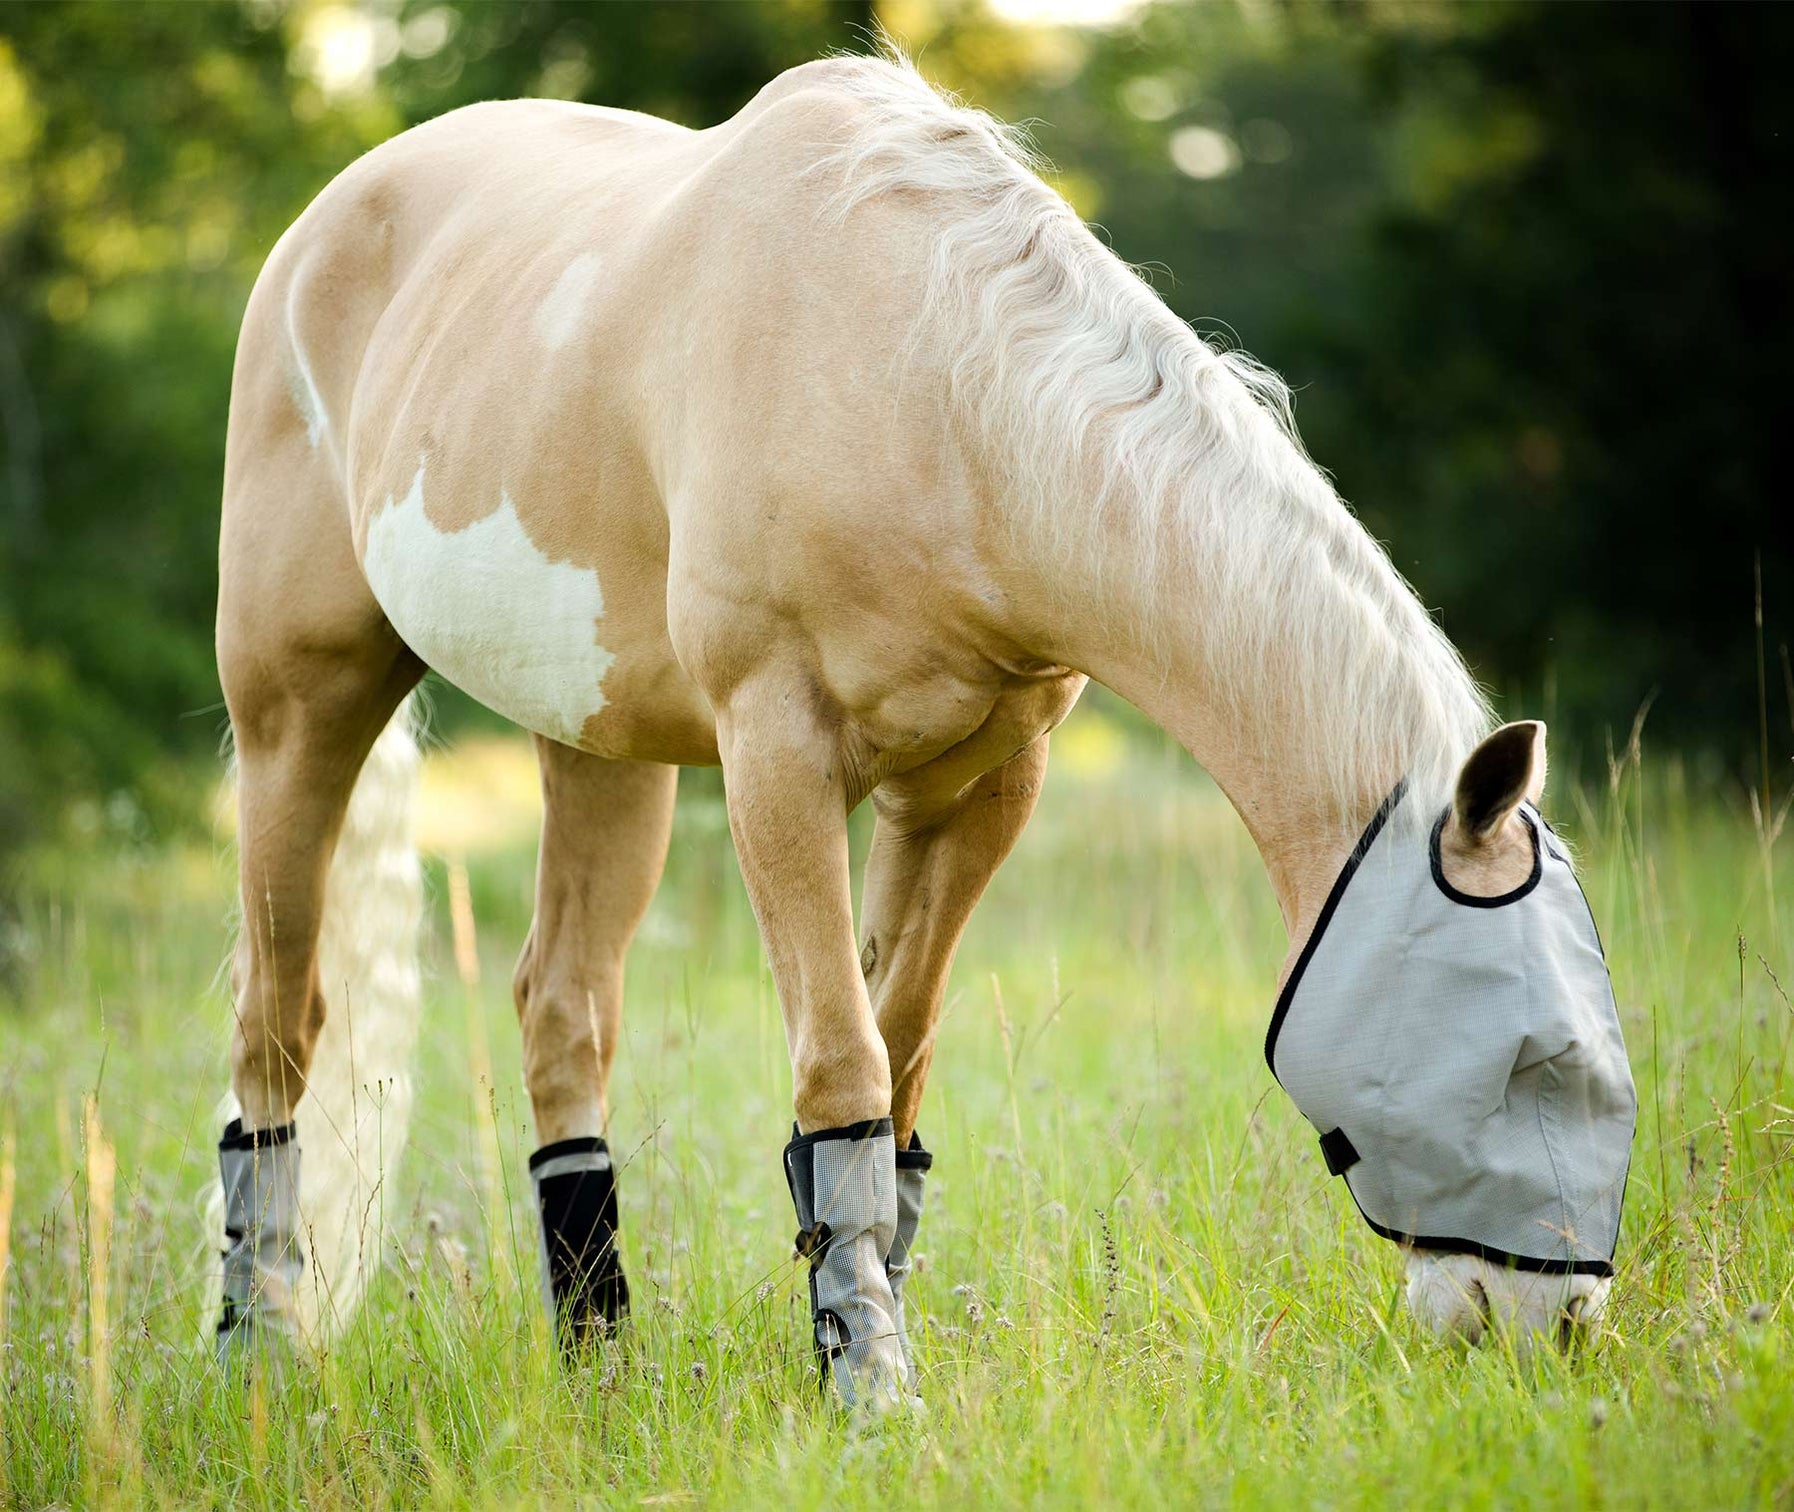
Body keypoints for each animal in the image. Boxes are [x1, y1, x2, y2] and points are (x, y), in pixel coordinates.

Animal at [211, 53, 1634, 1407]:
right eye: (1532, 1062)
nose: (1556, 1330)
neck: (932, 386)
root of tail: (327, 222)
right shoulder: (777, 758)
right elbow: (841, 1066)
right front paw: (874, 1394)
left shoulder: (978, 783)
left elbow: (894, 1080)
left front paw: (856, 1339)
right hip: (297, 710)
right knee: (278, 1023)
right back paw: (258, 1351)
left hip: (599, 742)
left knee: (560, 1011)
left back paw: (597, 1365)